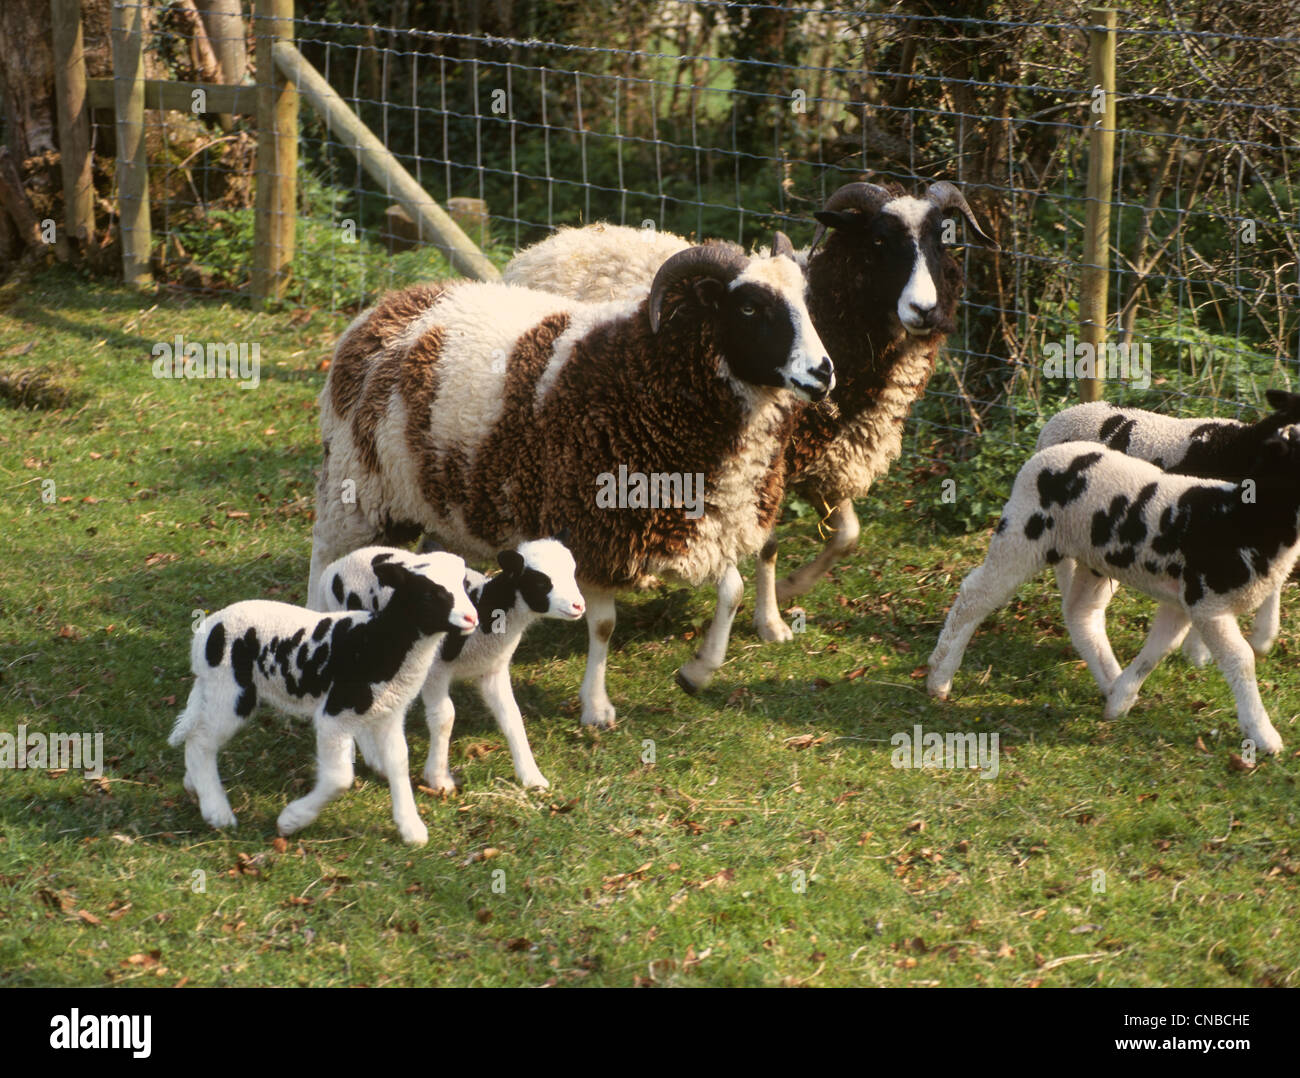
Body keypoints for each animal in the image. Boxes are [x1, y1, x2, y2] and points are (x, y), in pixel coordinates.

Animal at [170, 551, 478, 845]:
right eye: (430, 593)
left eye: (463, 585)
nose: (472, 618)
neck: (379, 640)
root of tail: (205, 634)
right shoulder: (335, 715)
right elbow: (339, 778)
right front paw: (291, 820)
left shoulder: (388, 713)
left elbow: (398, 762)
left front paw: (411, 829)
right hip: (231, 691)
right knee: (200, 742)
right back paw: (217, 812)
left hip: (214, 690)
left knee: (195, 733)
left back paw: (195, 786)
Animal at [308, 238, 833, 726]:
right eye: (749, 307)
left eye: (806, 299)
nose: (823, 372)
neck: (652, 373)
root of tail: (386, 307)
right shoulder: (594, 529)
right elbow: (602, 625)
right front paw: (596, 708)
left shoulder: (700, 524)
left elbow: (733, 592)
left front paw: (697, 671)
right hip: (356, 489)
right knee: (325, 559)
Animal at [319, 537, 585, 791]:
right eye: (541, 582)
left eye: (573, 571)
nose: (579, 606)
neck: (486, 608)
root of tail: (334, 568)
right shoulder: (436, 670)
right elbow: (445, 717)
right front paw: (438, 779)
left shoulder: (493, 669)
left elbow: (511, 715)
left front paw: (532, 777)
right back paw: (376, 761)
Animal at [500, 181, 998, 648]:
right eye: (879, 240)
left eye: (941, 239)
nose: (924, 310)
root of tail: (553, 241)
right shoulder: (772, 459)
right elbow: (771, 544)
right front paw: (772, 619)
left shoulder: (828, 454)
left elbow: (848, 535)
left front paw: (795, 586)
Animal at [926, 436, 1300, 756]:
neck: (1242, 520)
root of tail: (1045, 455)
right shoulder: (1206, 602)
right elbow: (1241, 659)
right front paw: (1263, 734)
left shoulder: (1182, 601)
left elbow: (1160, 648)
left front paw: (1121, 698)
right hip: (1022, 535)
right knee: (975, 596)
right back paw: (940, 676)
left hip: (1091, 558)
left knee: (1081, 613)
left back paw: (1109, 679)